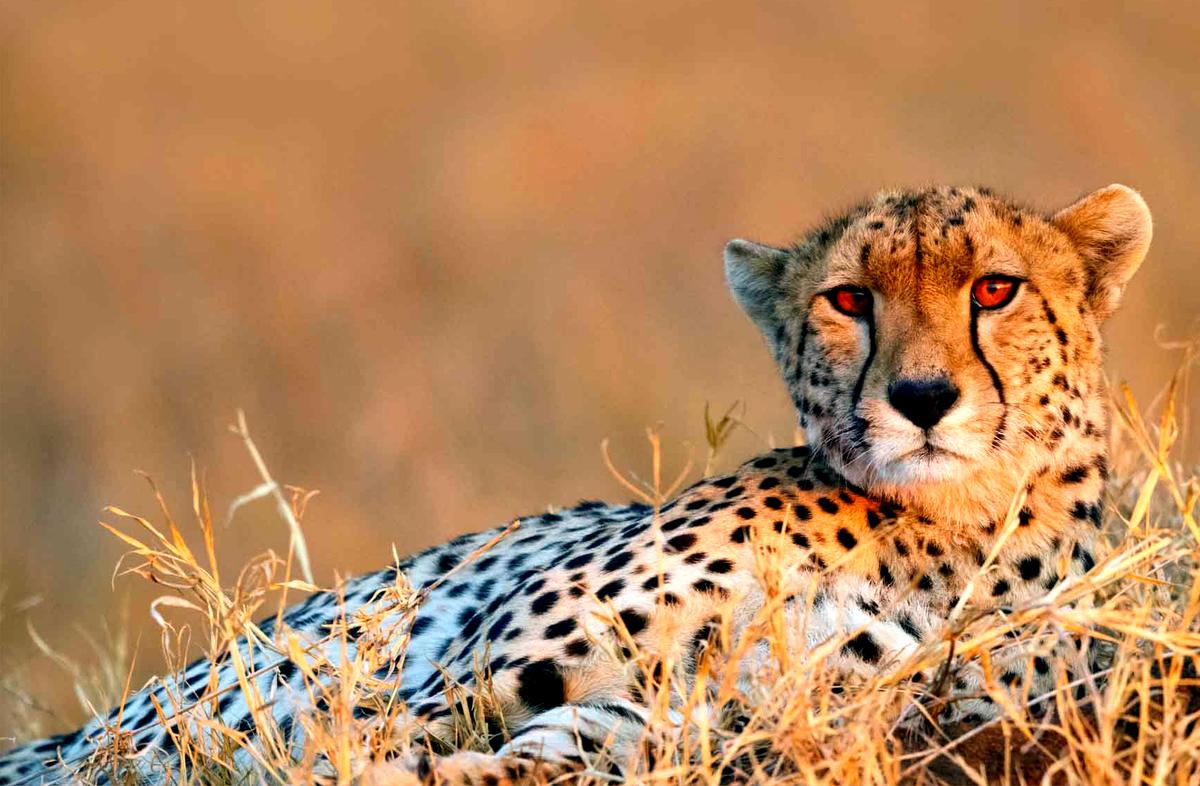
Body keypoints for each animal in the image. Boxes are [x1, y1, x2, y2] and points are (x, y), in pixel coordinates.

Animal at [0, 183, 1152, 785]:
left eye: (995, 289)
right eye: (848, 299)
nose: (921, 397)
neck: (936, 531)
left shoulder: (698, 722)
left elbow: (529, 760)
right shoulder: (472, 684)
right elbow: (369, 746)